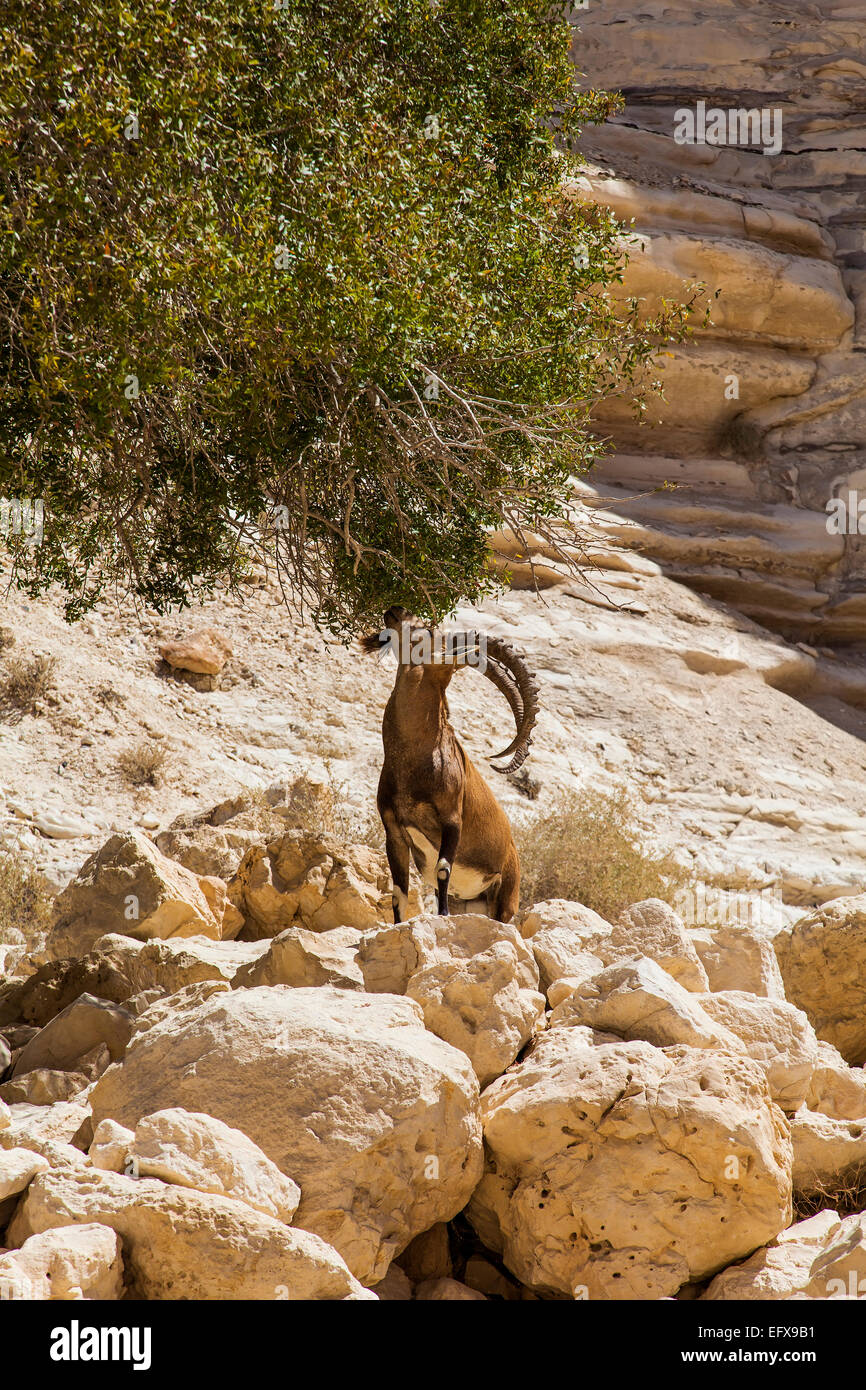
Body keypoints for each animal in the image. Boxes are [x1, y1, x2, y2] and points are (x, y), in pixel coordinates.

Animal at [361, 606, 539, 923]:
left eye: (429, 632)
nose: (397, 609)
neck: (415, 761)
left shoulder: (452, 820)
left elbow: (443, 869)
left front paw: (441, 916)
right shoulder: (393, 828)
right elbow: (398, 891)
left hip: (505, 899)